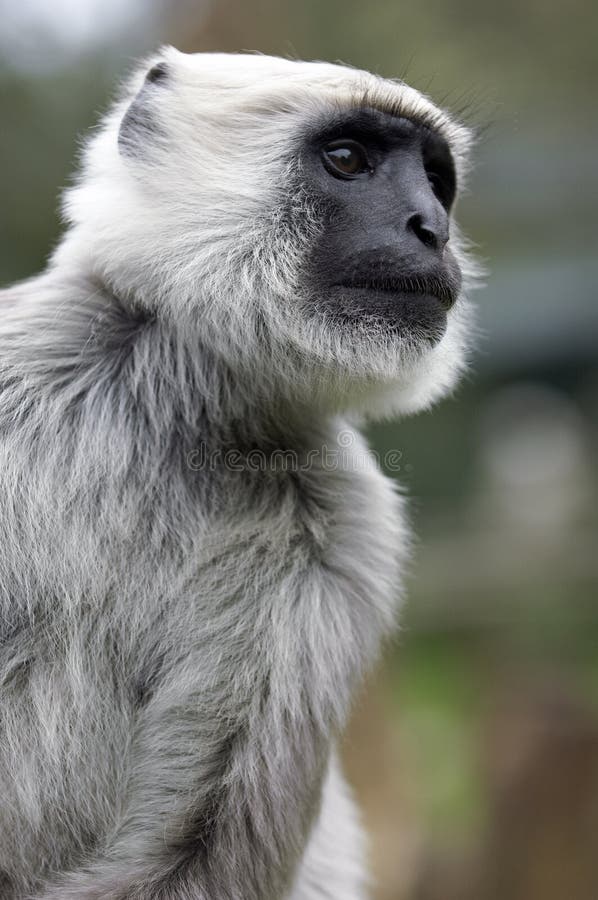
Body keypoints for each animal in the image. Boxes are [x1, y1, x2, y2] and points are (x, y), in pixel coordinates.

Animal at [0, 47, 476, 899]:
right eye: (347, 159)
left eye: (434, 180)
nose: (431, 229)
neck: (174, 400)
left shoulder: (342, 529)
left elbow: (194, 854)